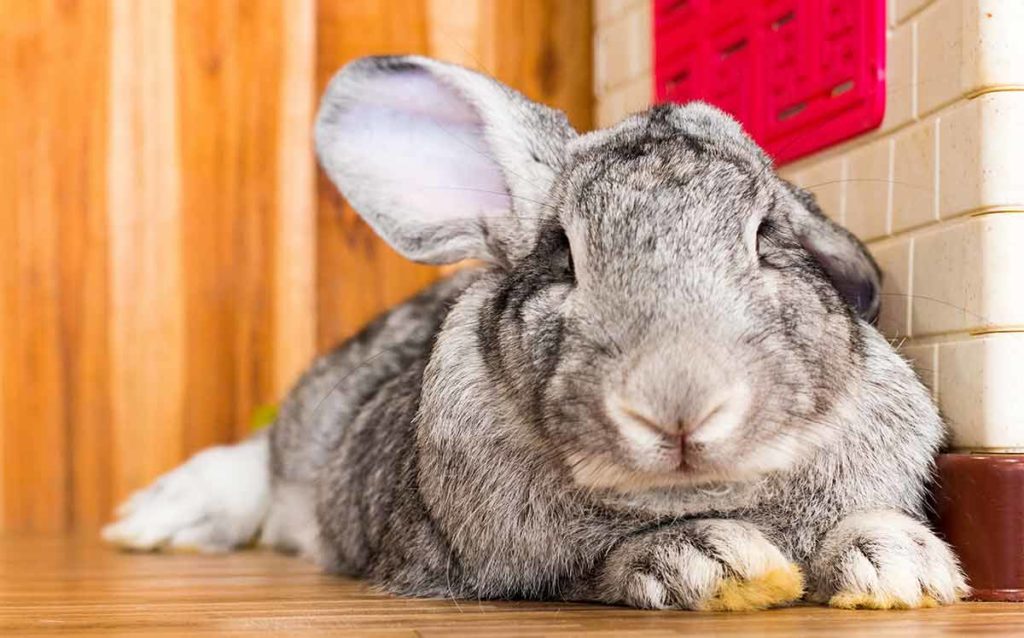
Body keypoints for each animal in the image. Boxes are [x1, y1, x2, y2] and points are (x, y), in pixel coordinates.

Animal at [103, 55, 967, 611]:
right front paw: (719, 563)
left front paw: (903, 568)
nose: (678, 405)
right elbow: (604, 566)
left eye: (765, 239)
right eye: (565, 256)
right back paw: (151, 524)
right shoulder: (499, 568)